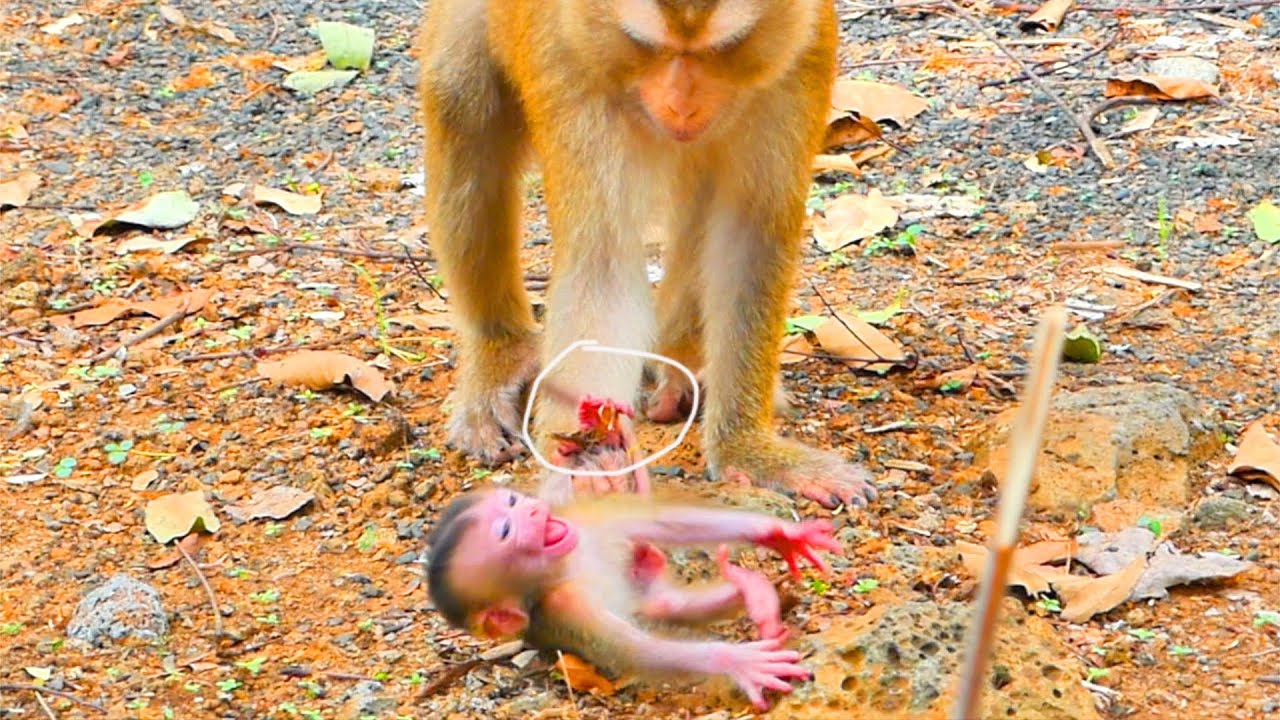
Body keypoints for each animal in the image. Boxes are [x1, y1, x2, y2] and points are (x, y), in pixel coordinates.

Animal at [420, 0, 879, 508]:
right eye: (642, 44)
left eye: (727, 47)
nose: (682, 104)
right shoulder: (571, 70)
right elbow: (602, 264)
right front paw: (587, 465)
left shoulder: (797, 58)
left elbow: (749, 240)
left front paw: (746, 446)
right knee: (461, 102)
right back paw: (501, 351)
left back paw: (683, 351)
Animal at [424, 487, 840, 709]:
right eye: (506, 531)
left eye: (511, 500)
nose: (532, 509)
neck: (571, 564)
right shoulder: (563, 605)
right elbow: (632, 649)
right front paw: (737, 662)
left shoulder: (588, 525)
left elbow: (658, 522)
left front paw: (777, 531)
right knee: (662, 608)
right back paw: (755, 596)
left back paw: (757, 595)